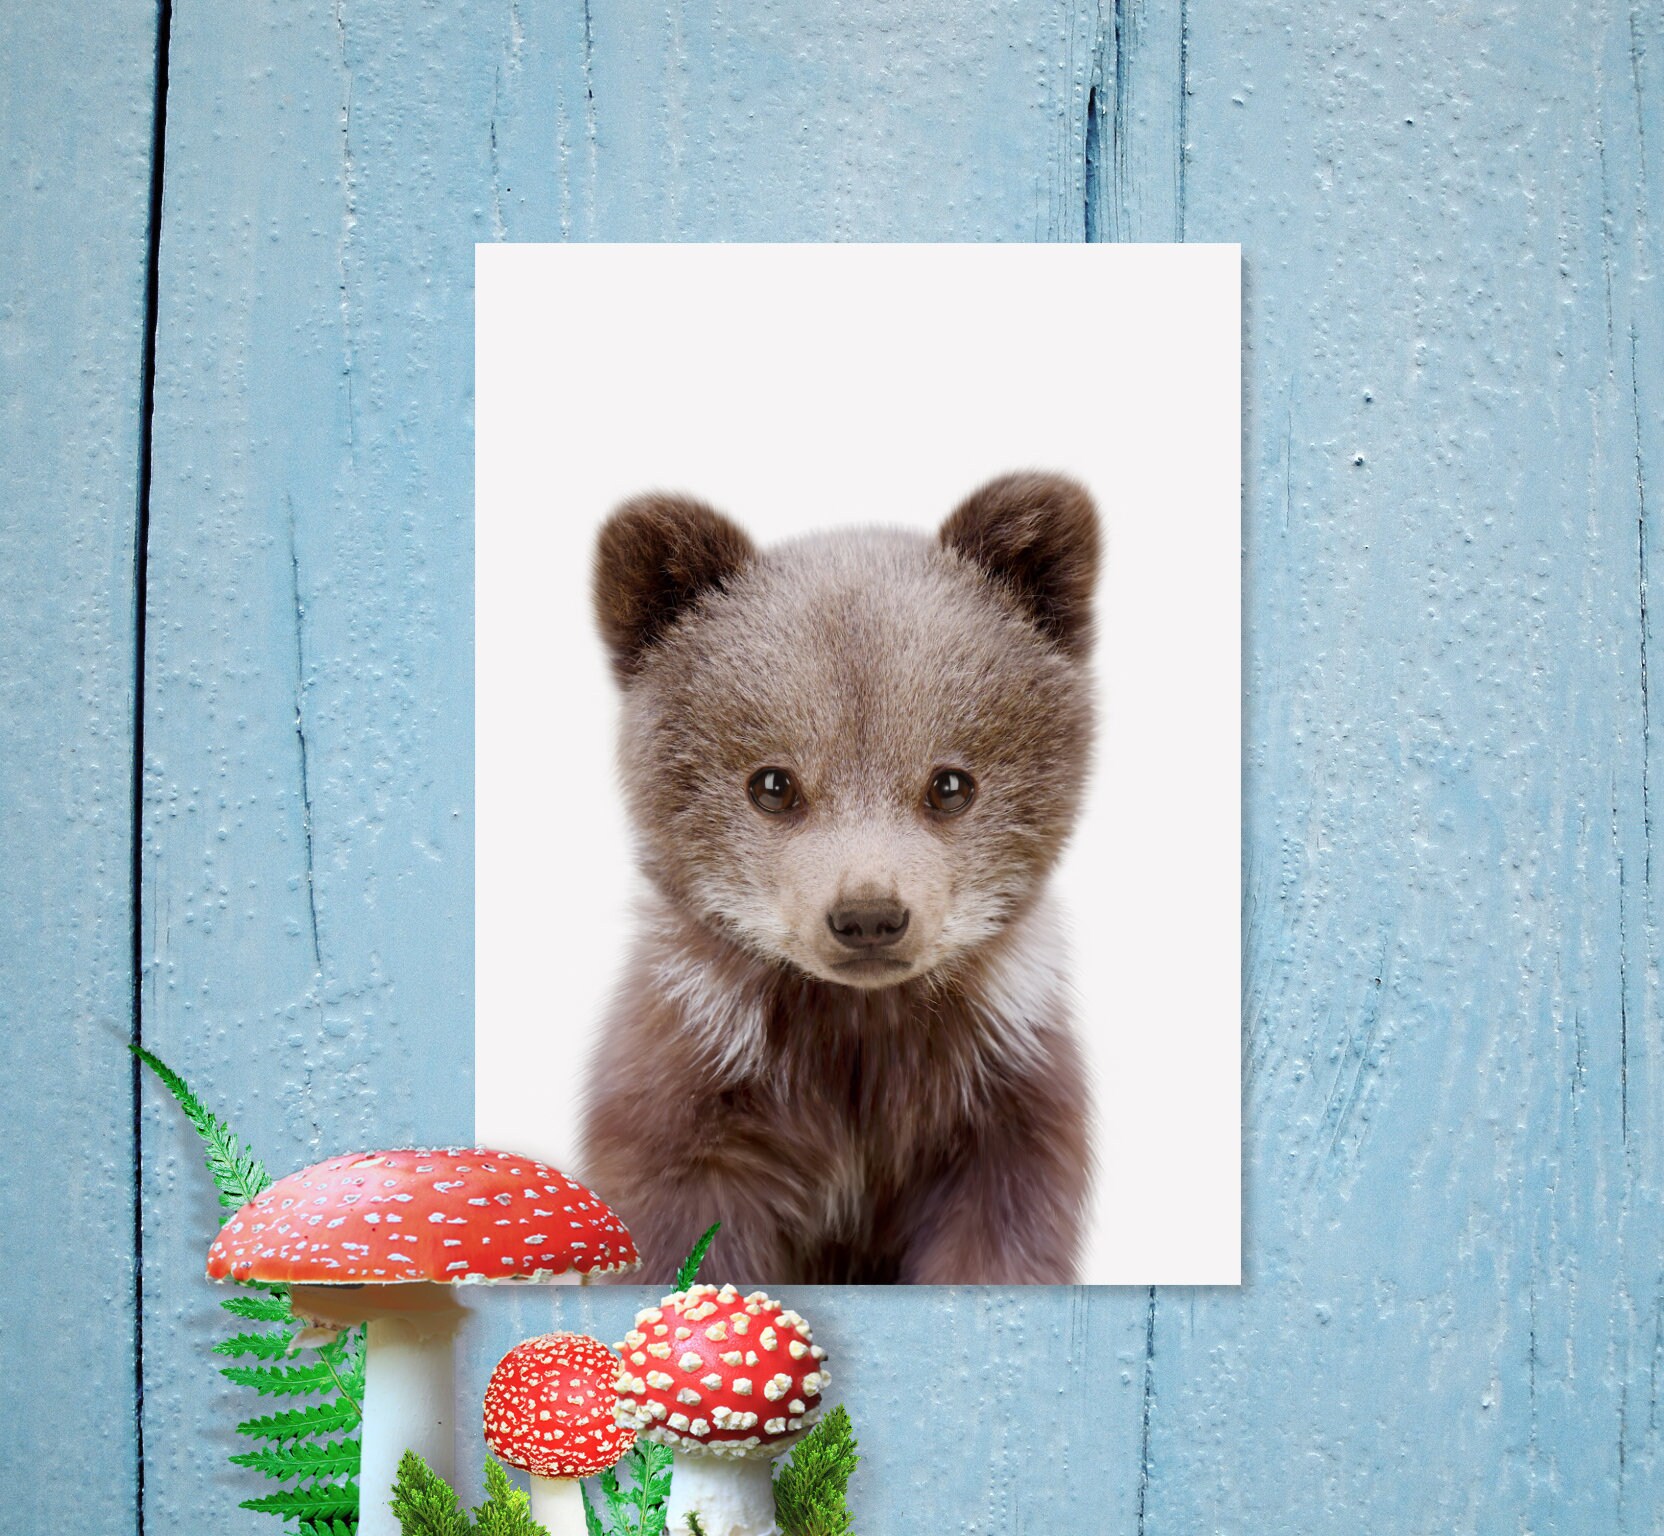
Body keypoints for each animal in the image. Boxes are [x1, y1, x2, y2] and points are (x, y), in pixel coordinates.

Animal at [578, 471, 1099, 1284]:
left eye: (951, 783)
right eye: (772, 783)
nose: (869, 915)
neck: (856, 1043)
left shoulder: (1003, 1109)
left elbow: (999, 1242)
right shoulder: (685, 1107)